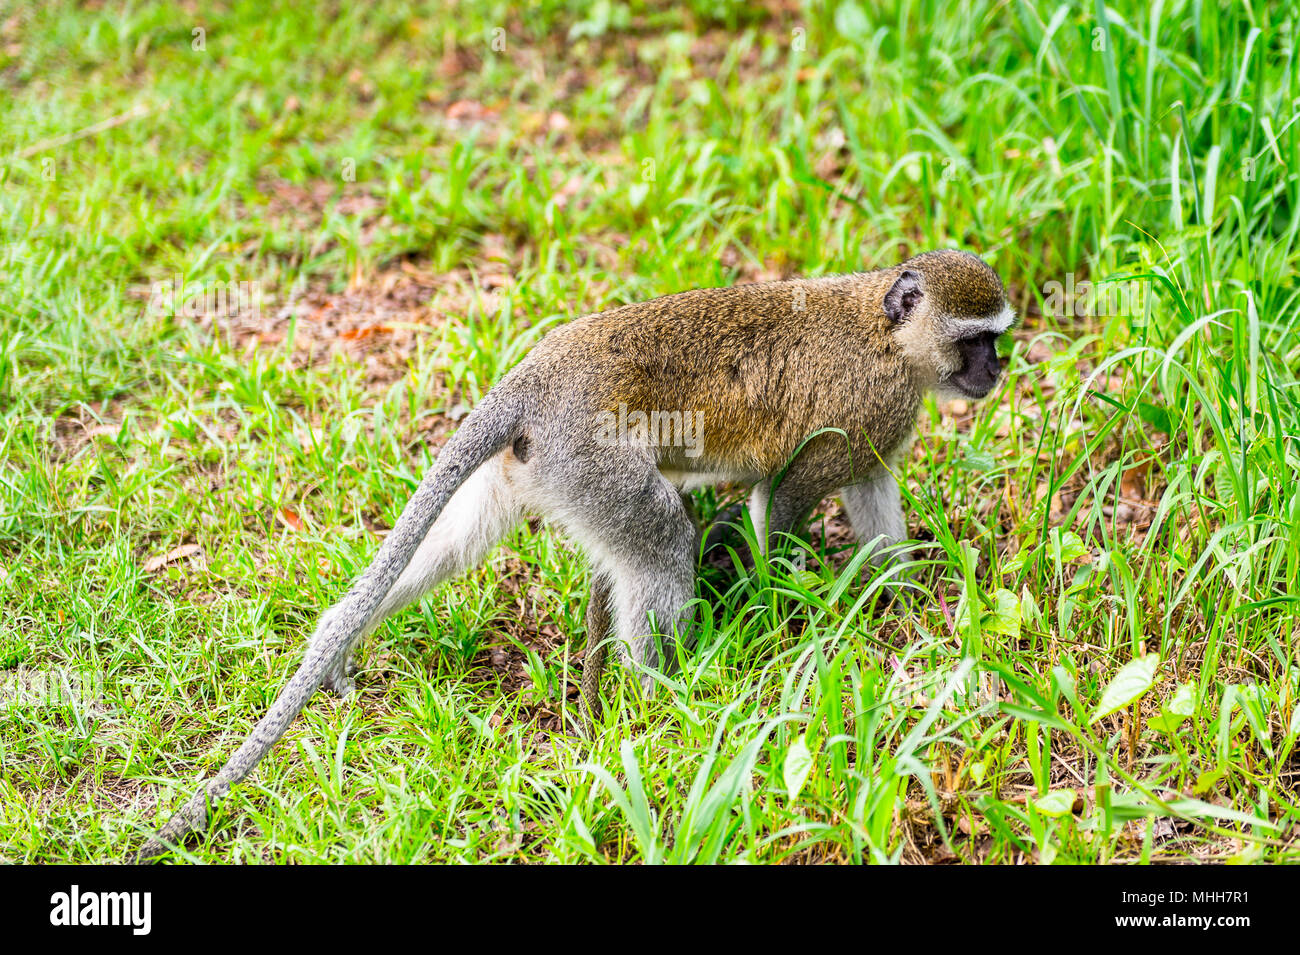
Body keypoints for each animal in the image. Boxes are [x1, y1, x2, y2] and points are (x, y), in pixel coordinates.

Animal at [132, 248, 1014, 862]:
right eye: (976, 340)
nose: (998, 370)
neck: (887, 336)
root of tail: (538, 376)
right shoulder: (866, 408)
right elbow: (782, 503)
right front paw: (787, 613)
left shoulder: (880, 426)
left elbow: (871, 493)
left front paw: (901, 602)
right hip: (586, 455)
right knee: (661, 545)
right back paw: (667, 711)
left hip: (536, 465)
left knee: (460, 540)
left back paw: (341, 631)